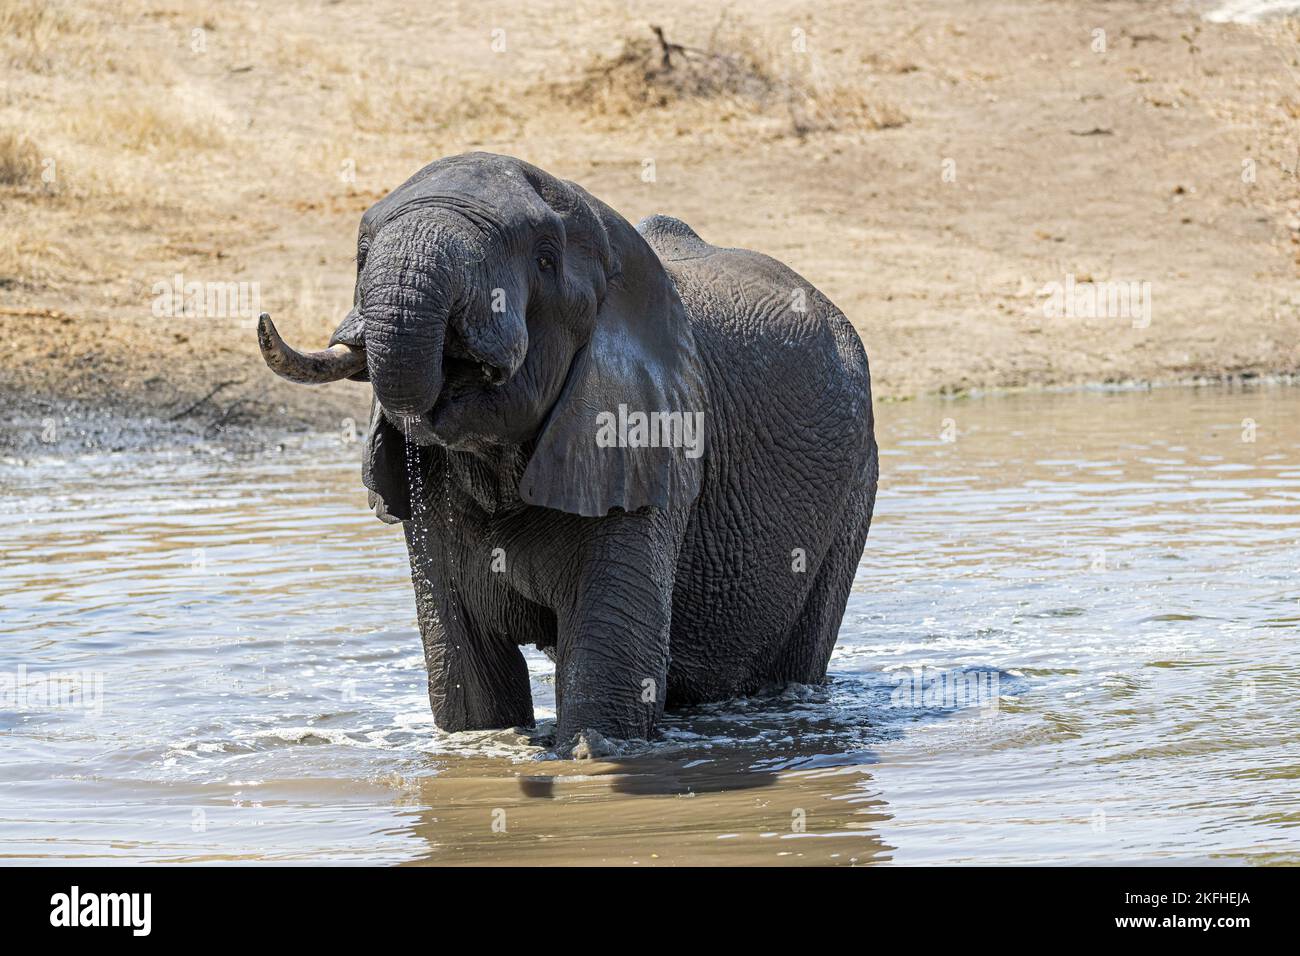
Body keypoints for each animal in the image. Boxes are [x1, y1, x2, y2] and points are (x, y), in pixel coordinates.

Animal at [257, 152, 878, 755]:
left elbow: (608, 669)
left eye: (545, 261)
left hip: (853, 492)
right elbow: (466, 676)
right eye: (361, 255)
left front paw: (587, 754)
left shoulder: (649, 444)